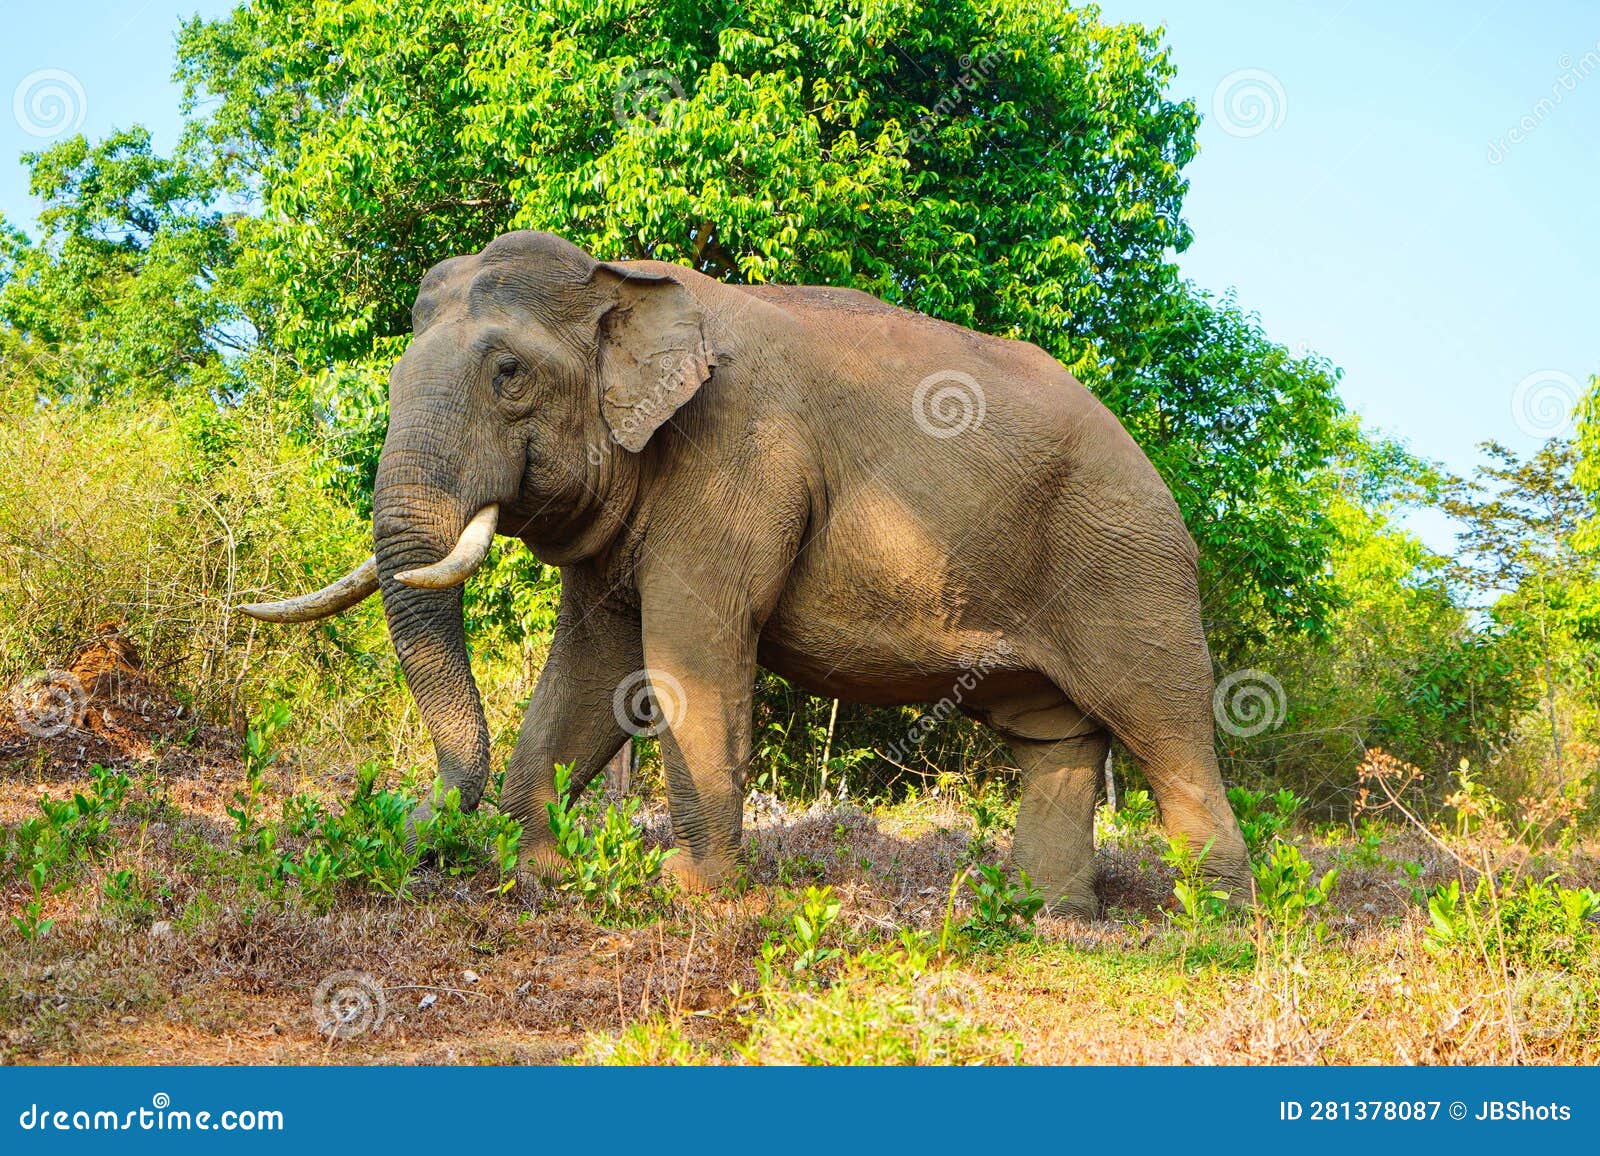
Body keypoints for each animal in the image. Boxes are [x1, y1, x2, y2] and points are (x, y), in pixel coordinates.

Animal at [242, 229, 1250, 916]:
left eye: (508, 374)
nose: (415, 838)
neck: (624, 279)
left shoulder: (734, 457)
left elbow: (689, 646)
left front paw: (686, 890)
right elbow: (592, 663)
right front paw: (534, 873)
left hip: (1128, 560)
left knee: (1164, 719)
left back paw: (1215, 929)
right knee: (1053, 738)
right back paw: (1049, 917)